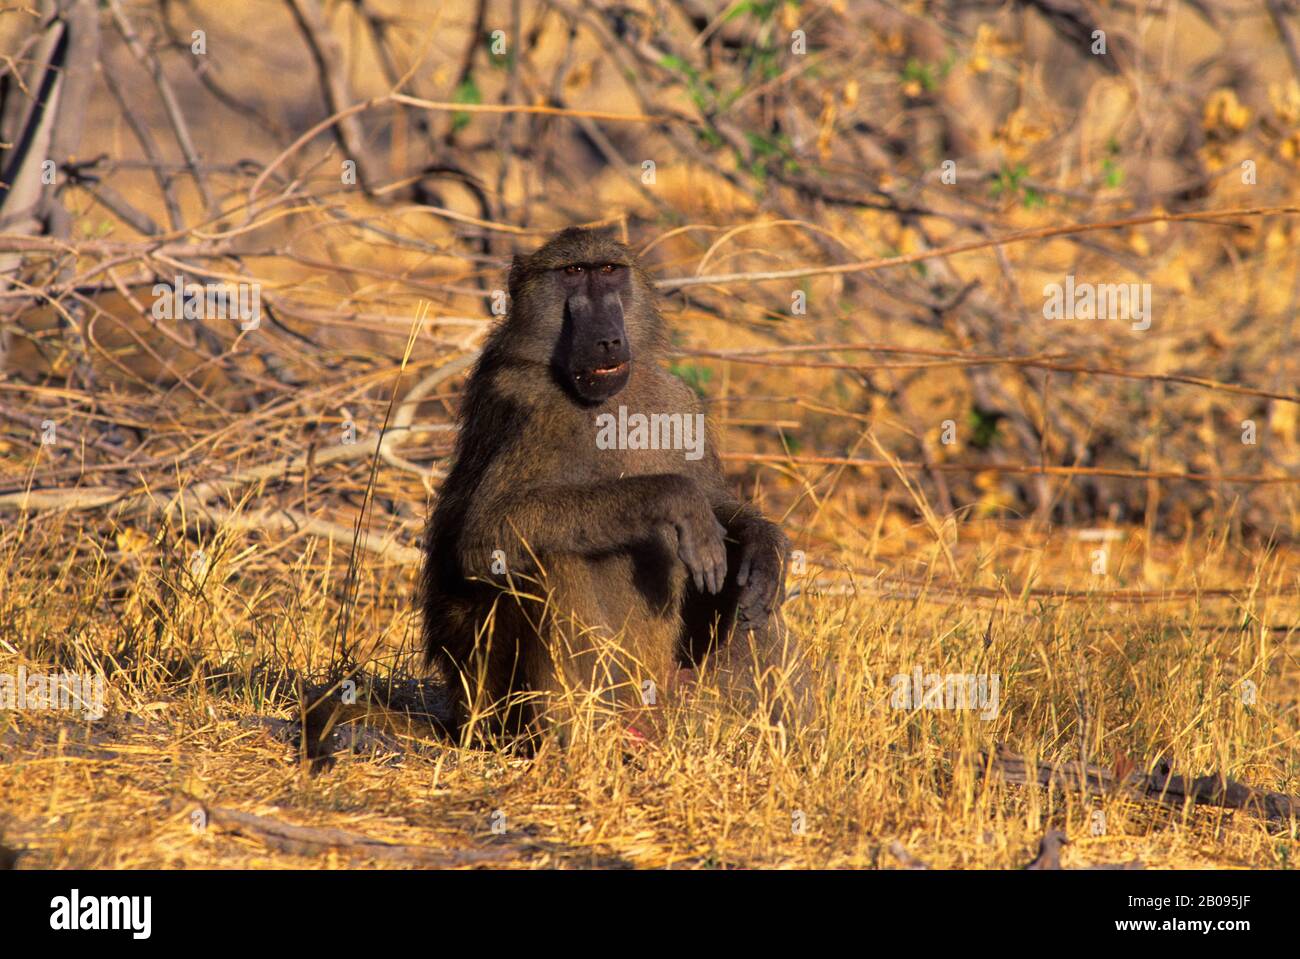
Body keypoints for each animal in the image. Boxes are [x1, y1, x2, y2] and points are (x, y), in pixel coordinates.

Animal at [420, 226, 807, 746]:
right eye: (571, 273)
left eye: (608, 271)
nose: (605, 338)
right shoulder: (522, 401)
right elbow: (487, 536)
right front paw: (677, 500)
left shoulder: (677, 400)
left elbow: (722, 514)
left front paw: (766, 546)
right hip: (492, 710)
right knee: (550, 555)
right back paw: (579, 742)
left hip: (684, 687)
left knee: (743, 597)